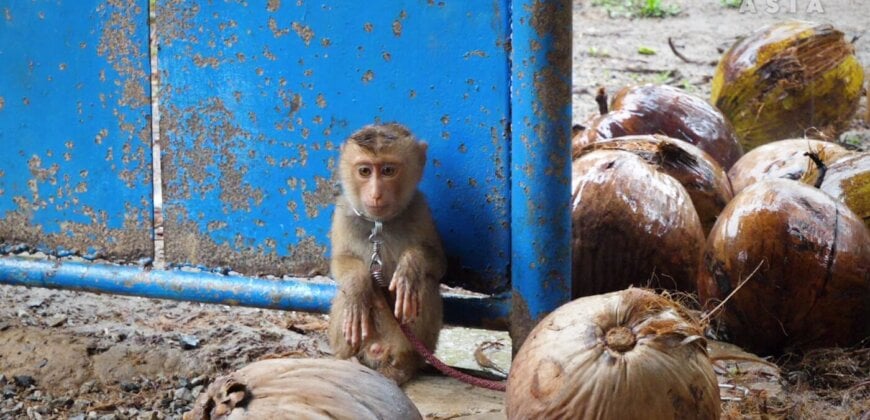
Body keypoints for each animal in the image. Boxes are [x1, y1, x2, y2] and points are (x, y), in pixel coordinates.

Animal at [327, 123, 446, 385]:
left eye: (388, 171)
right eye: (364, 171)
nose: (376, 194)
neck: (379, 225)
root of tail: (377, 350)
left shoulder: (420, 208)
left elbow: (438, 263)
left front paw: (410, 267)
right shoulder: (343, 213)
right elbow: (340, 262)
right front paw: (358, 284)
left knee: (424, 286)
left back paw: (403, 365)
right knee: (346, 295)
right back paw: (347, 358)